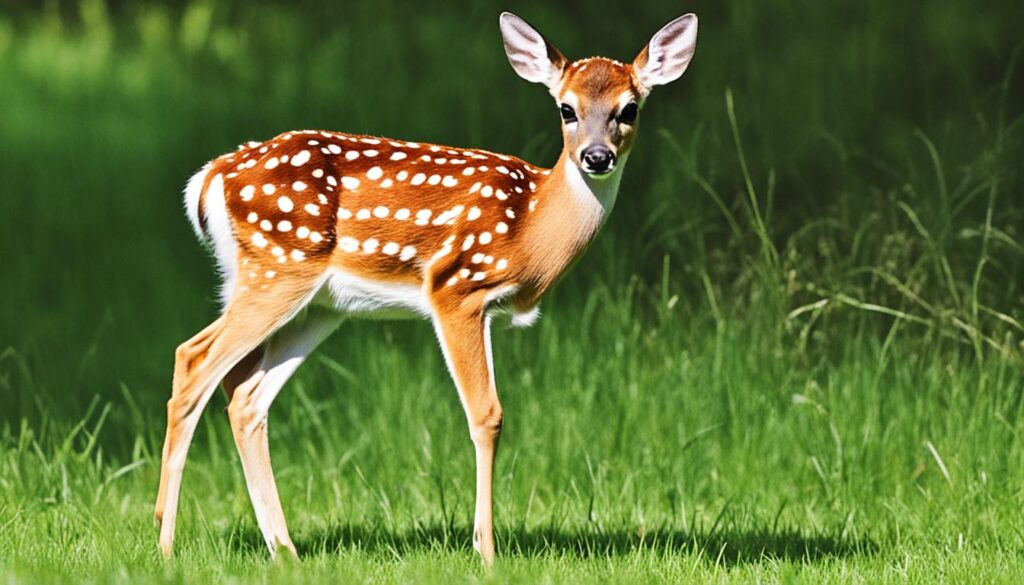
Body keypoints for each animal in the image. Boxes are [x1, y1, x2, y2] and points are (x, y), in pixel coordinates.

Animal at [154, 11, 698, 565]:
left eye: (629, 108)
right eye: (566, 108)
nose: (596, 156)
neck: (531, 225)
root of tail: (211, 176)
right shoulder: (456, 286)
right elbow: (487, 414)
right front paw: (487, 552)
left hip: (315, 303)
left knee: (244, 394)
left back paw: (283, 549)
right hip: (279, 266)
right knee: (194, 358)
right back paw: (166, 544)